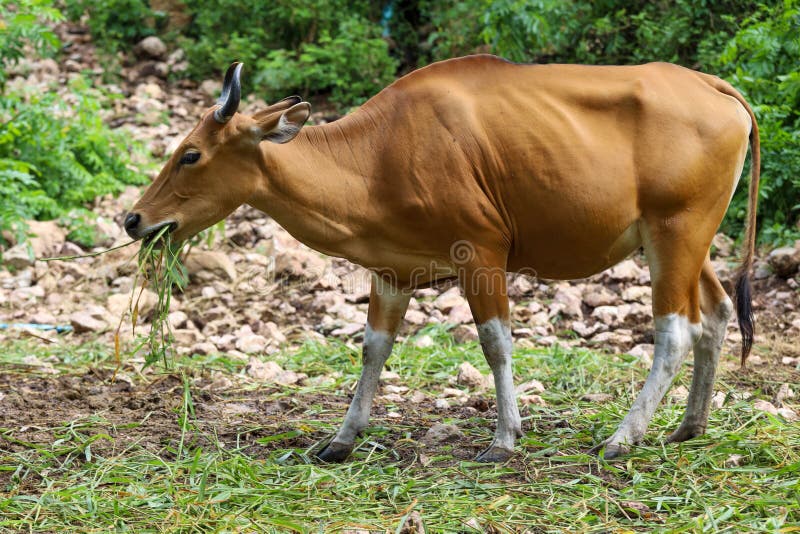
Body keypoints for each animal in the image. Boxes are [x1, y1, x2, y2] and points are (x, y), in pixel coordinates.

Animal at [123, 55, 760, 462]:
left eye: (190, 155)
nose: (133, 220)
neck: (377, 155)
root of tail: (714, 87)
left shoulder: (481, 253)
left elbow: (496, 344)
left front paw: (504, 440)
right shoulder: (390, 272)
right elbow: (373, 351)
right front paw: (342, 440)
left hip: (676, 230)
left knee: (675, 332)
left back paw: (622, 438)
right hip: (682, 239)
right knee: (717, 315)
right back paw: (688, 427)